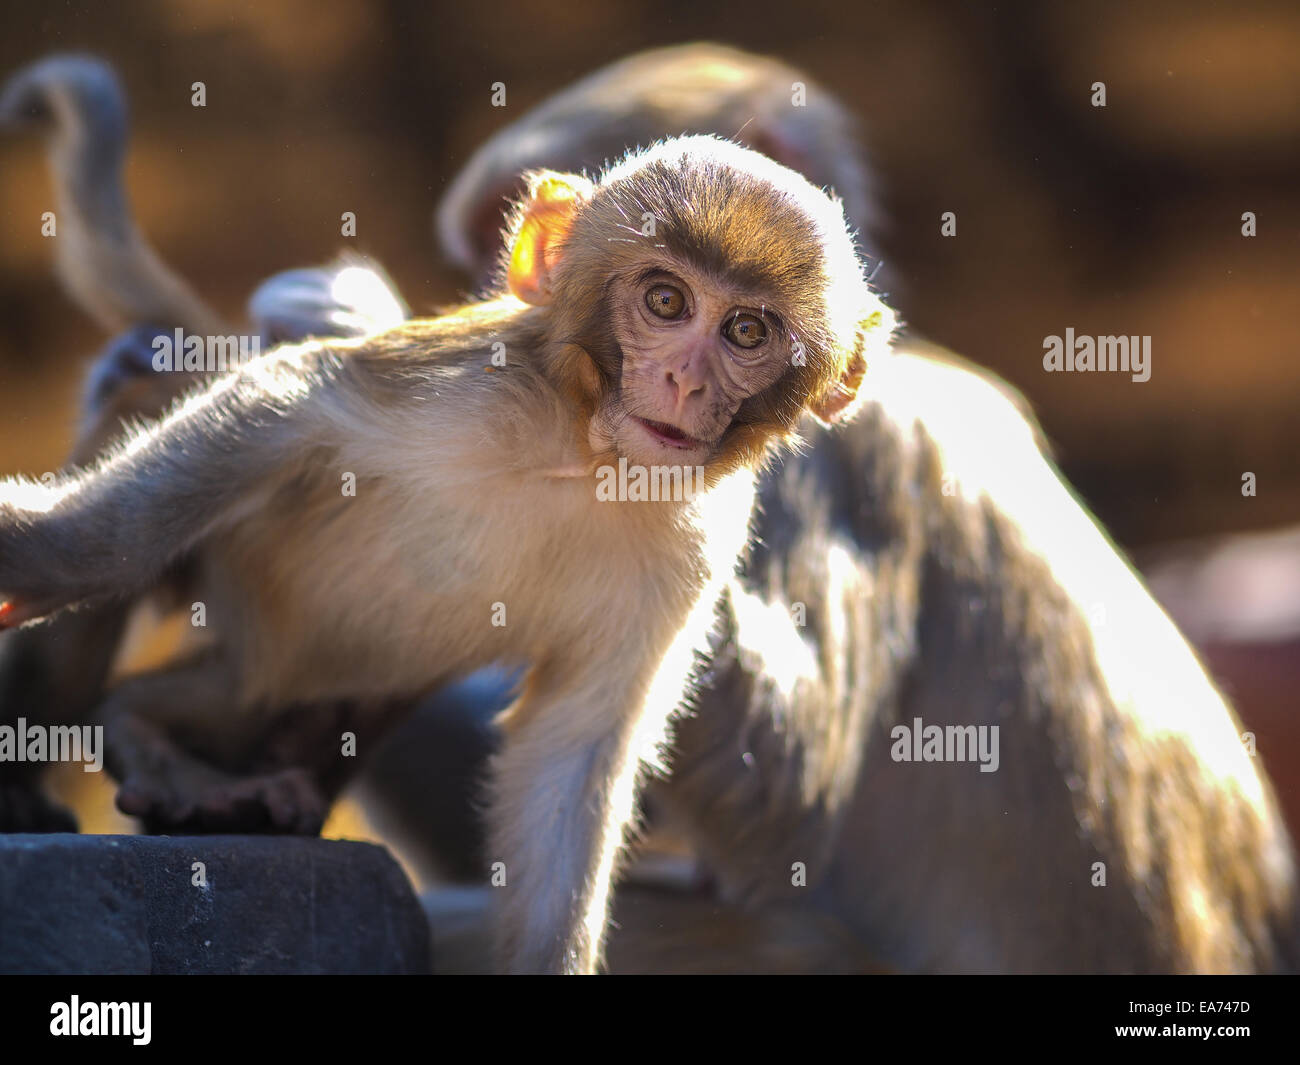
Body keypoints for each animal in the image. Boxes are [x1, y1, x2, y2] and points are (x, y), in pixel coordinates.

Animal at [0, 135, 893, 972]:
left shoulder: (700, 547)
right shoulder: (474, 387)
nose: (682, 380)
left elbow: (569, 752)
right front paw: (47, 550)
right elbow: (291, 398)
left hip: (263, 676)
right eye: (666, 300)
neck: (590, 457)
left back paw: (154, 735)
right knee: (146, 392)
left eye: (745, 330)